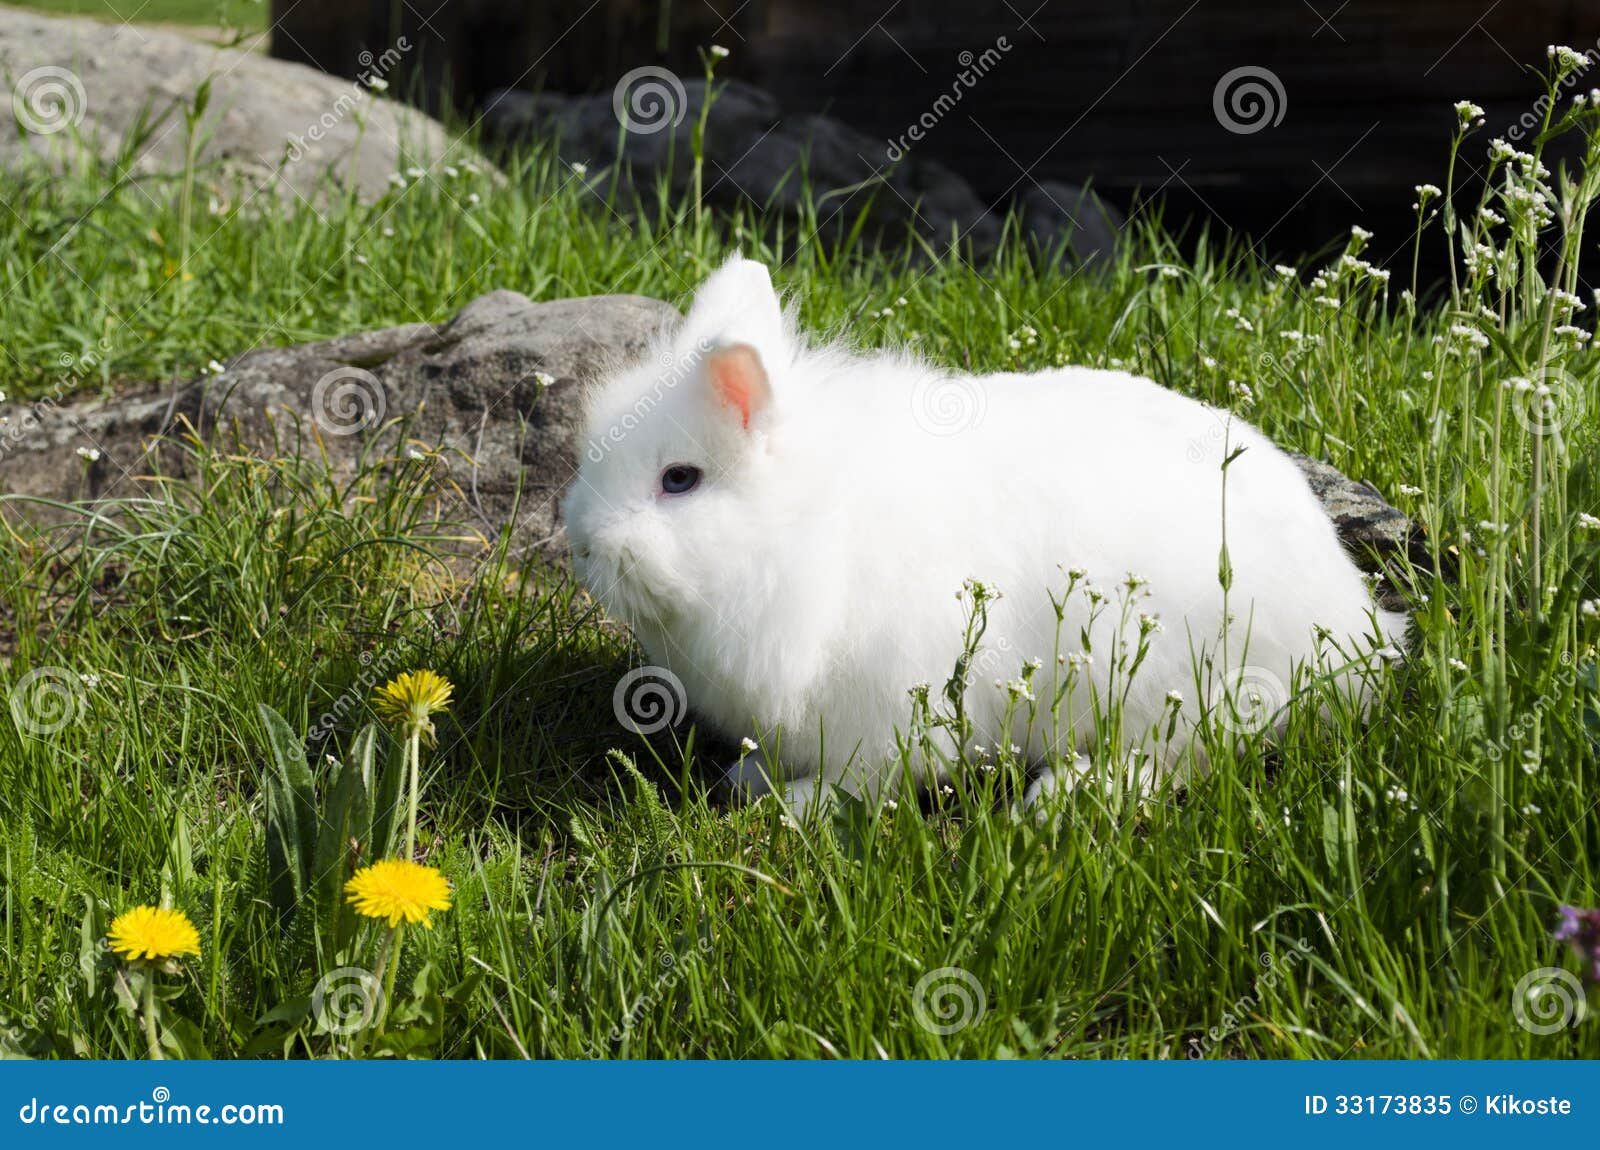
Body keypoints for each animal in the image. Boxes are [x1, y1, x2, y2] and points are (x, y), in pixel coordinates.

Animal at [561, 256, 1406, 816]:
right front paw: (749, 779)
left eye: (679, 480)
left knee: (1176, 758)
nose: (582, 544)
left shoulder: (889, 708)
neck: (802, 528)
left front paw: (793, 805)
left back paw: (1059, 797)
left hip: (1181, 690)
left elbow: (869, 773)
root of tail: (1357, 629)